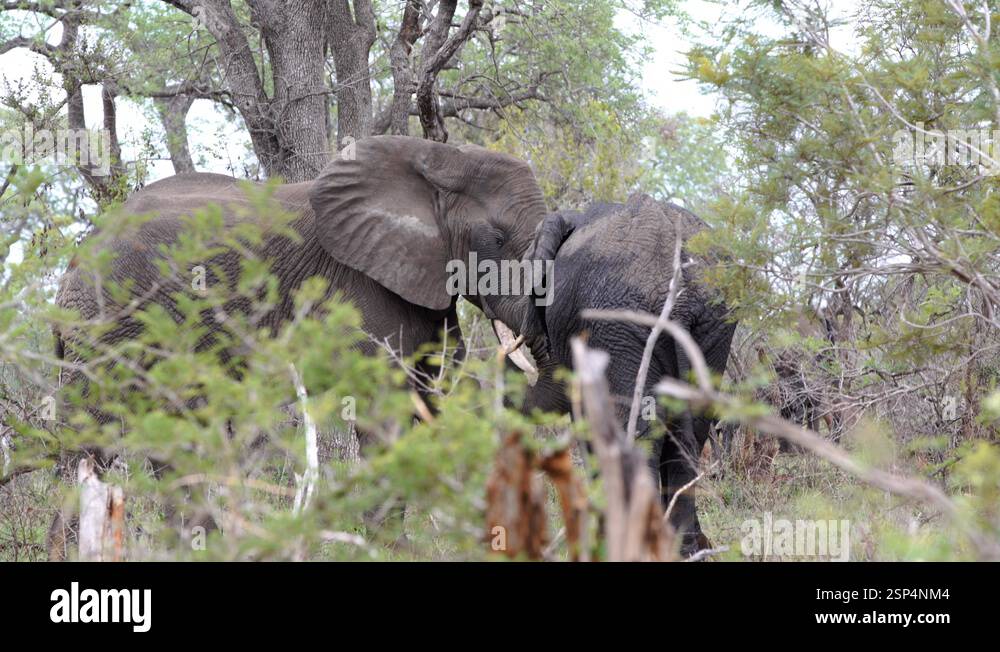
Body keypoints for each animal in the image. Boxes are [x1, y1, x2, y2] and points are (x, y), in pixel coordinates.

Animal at [49, 136, 546, 555]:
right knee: (94, 440)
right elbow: (383, 409)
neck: (440, 157)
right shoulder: (361, 287)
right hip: (107, 324)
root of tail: (76, 257)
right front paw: (392, 550)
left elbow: (431, 399)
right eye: (498, 239)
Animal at [516, 193, 737, 555]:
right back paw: (686, 549)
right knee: (693, 428)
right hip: (713, 323)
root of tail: (680, 296)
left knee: (639, 432)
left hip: (621, 323)